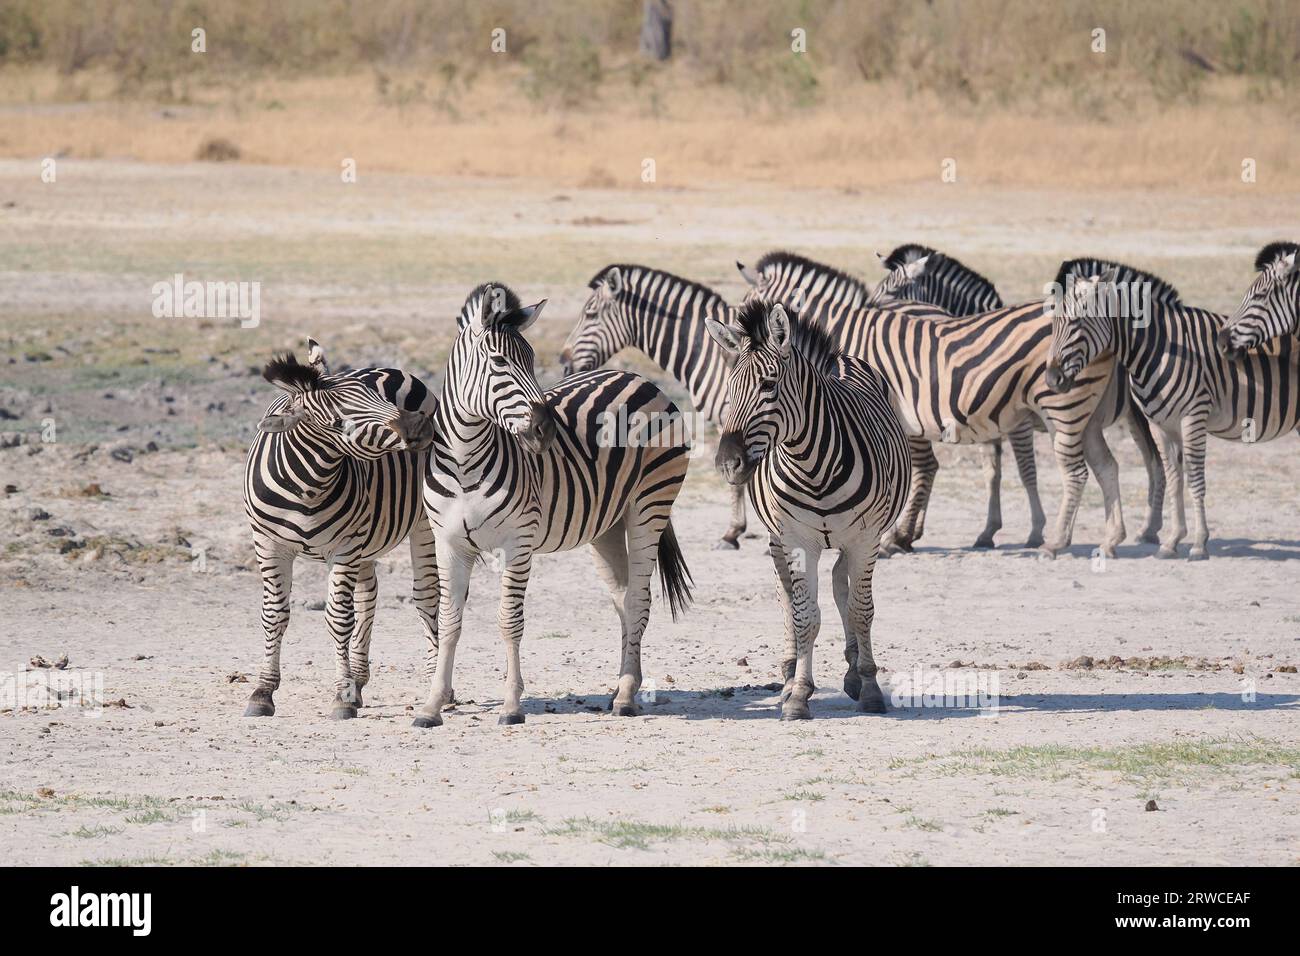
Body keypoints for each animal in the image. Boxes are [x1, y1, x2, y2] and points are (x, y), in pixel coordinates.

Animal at [243, 339, 439, 719]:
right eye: (338, 422)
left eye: (374, 396)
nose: (420, 427)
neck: (306, 484)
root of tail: (393, 369)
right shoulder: (268, 544)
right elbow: (274, 614)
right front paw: (262, 692)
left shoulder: (345, 546)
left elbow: (339, 618)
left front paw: (341, 697)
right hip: (370, 534)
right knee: (368, 595)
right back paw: (359, 681)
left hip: (421, 523)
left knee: (428, 596)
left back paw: (438, 684)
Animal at [414, 283, 693, 727]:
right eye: (500, 361)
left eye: (531, 361)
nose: (545, 430)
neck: (464, 462)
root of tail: (637, 376)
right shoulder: (449, 543)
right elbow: (449, 621)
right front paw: (432, 705)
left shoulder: (517, 542)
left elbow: (509, 620)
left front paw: (511, 705)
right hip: (606, 524)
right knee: (622, 598)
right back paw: (623, 684)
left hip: (650, 504)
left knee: (638, 598)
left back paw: (626, 697)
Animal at [707, 299, 910, 719]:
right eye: (729, 392)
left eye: (768, 386)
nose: (728, 464)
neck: (813, 468)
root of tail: (842, 360)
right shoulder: (797, 540)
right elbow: (805, 617)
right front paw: (799, 693)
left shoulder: (867, 539)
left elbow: (860, 610)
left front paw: (870, 686)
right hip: (778, 540)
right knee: (788, 594)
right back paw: (788, 676)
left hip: (855, 539)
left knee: (841, 584)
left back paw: (854, 670)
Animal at [739, 250, 1167, 558]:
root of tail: (1106, 333)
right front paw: (901, 535)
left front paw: (893, 537)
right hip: (1087, 415)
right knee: (1108, 467)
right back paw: (1112, 540)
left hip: (1063, 406)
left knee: (1078, 472)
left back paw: (1057, 542)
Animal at [1047, 257, 1300, 560]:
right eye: (1053, 323)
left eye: (1076, 322)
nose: (1051, 378)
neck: (1160, 347)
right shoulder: (1159, 423)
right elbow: (1174, 475)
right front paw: (1172, 540)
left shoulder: (1194, 416)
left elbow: (1195, 478)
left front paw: (1199, 543)